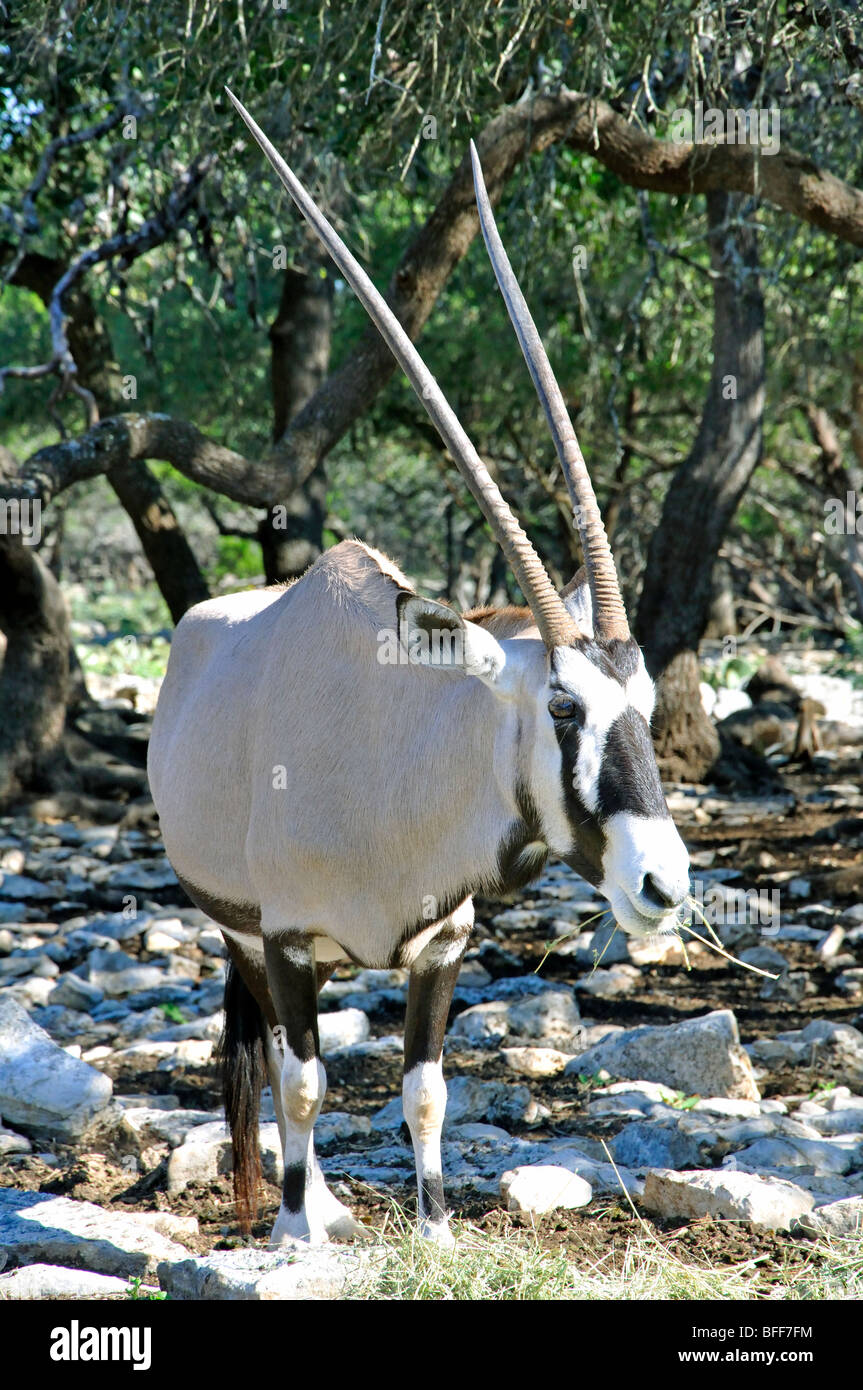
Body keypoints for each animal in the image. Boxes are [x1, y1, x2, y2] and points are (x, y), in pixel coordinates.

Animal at [147, 92, 691, 1248]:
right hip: (236, 930)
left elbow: (426, 1089)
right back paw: (298, 1206)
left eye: (642, 701)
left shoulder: (441, 943)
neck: (396, 748)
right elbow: (306, 1080)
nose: (660, 884)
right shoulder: (288, 938)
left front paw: (437, 1229)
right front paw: (298, 1238)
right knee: (272, 1057)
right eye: (563, 705)